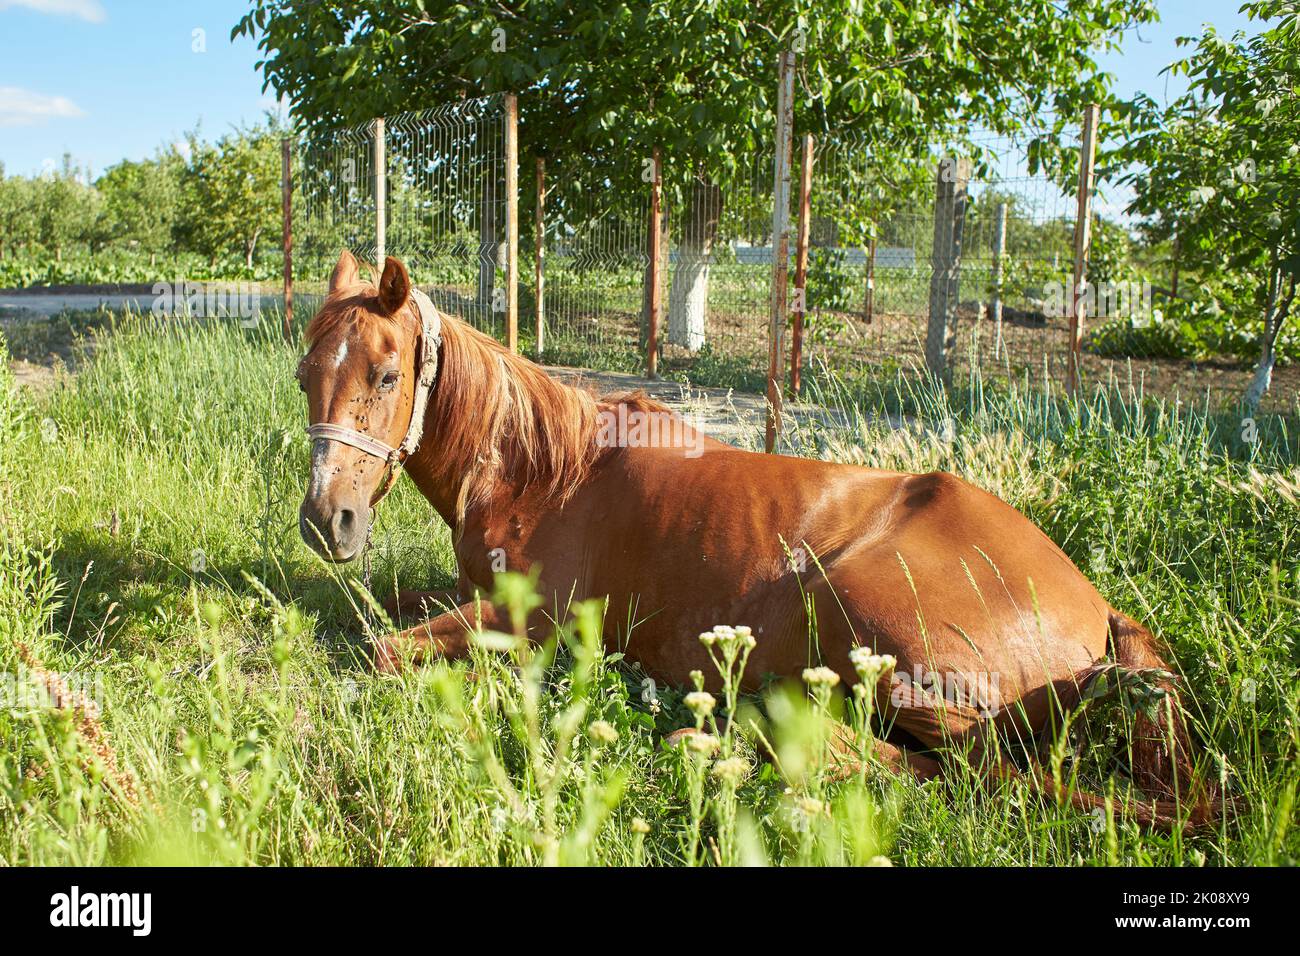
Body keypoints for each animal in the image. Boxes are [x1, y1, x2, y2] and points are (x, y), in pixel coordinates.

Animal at [296, 250, 1218, 830]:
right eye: (306, 374)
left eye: (387, 374)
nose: (325, 520)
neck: (543, 472)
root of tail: (1095, 605)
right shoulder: (468, 593)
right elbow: (383, 606)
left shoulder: (534, 628)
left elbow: (383, 648)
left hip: (868, 619)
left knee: (957, 763)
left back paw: (713, 736)